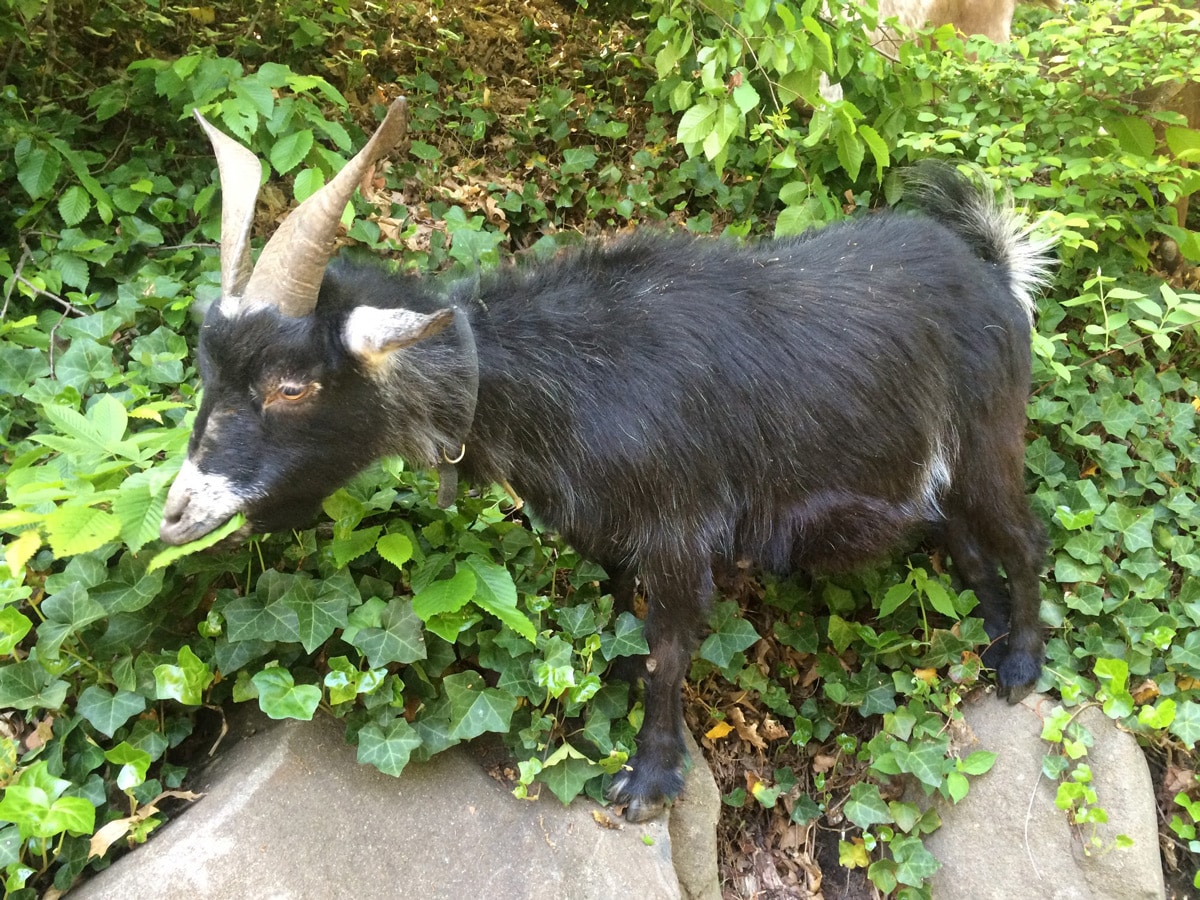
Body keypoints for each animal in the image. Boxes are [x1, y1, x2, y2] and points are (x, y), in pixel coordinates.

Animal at [160, 98, 1054, 822]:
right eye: (206, 367)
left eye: (291, 385)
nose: (176, 515)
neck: (567, 377)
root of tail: (993, 272)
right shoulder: (605, 529)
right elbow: (623, 620)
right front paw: (615, 695)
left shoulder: (680, 525)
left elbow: (670, 649)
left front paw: (648, 780)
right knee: (962, 538)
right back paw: (991, 631)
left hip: (987, 437)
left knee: (1023, 538)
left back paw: (1021, 662)